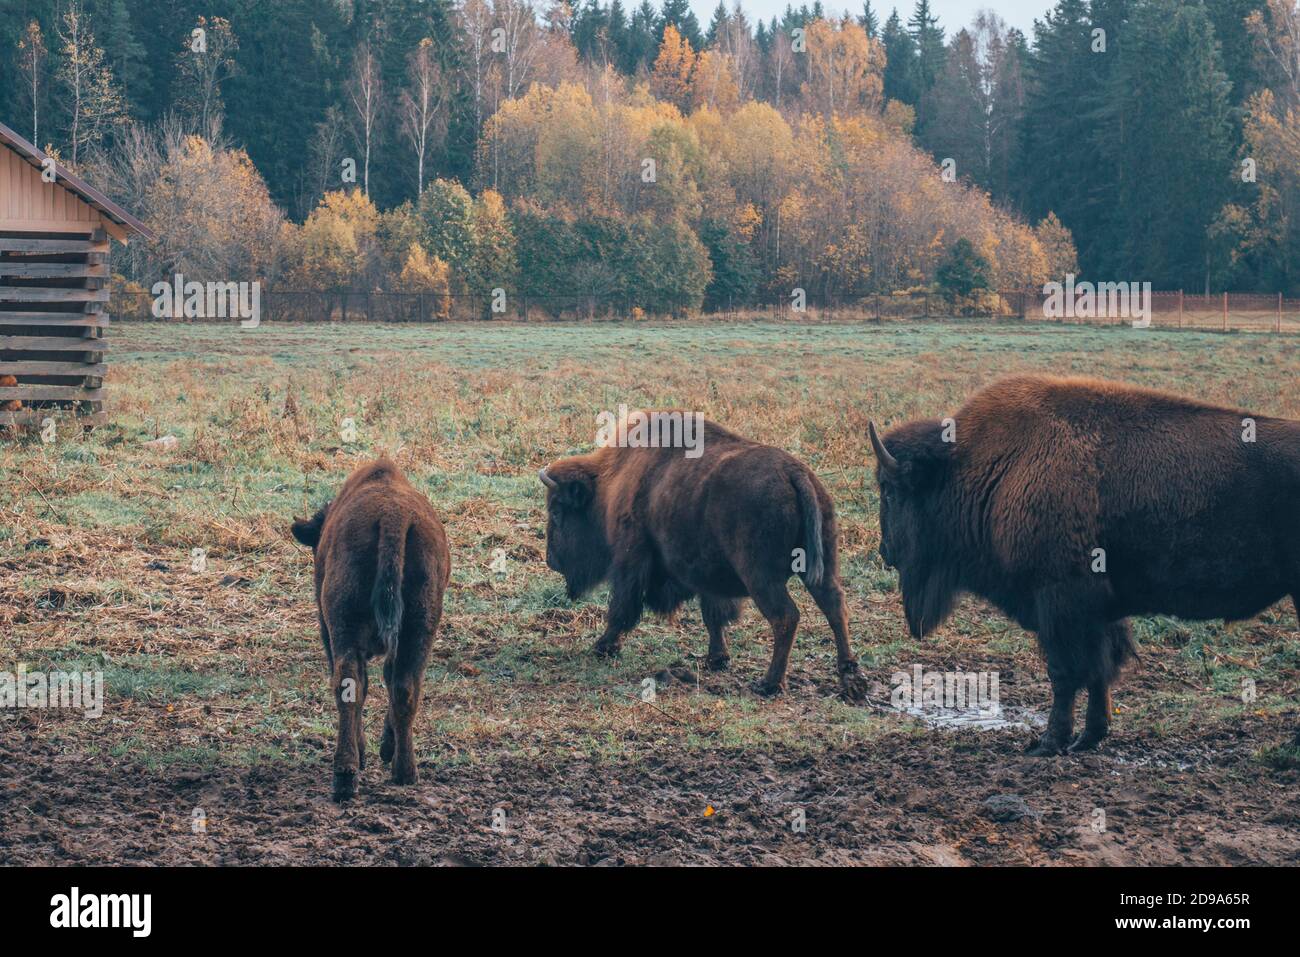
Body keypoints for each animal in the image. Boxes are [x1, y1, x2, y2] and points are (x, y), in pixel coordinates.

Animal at [291, 458, 450, 800]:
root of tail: (393, 516)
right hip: (419, 629)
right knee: (404, 687)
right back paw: (405, 771)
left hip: (344, 629)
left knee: (349, 684)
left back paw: (346, 774)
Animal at [539, 410, 868, 700]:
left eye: (557, 511)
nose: (551, 559)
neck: (610, 479)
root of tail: (795, 473)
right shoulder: (708, 576)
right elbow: (713, 616)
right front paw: (717, 658)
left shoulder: (631, 560)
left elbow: (622, 608)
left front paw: (602, 646)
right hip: (824, 564)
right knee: (835, 606)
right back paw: (850, 675)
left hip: (761, 577)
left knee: (786, 616)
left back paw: (770, 684)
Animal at [869, 374, 1300, 755]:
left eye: (889, 492)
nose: (885, 550)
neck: (987, 466)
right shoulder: (1098, 613)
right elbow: (1100, 671)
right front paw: (1089, 738)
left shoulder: (1059, 600)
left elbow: (1065, 673)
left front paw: (1048, 743)